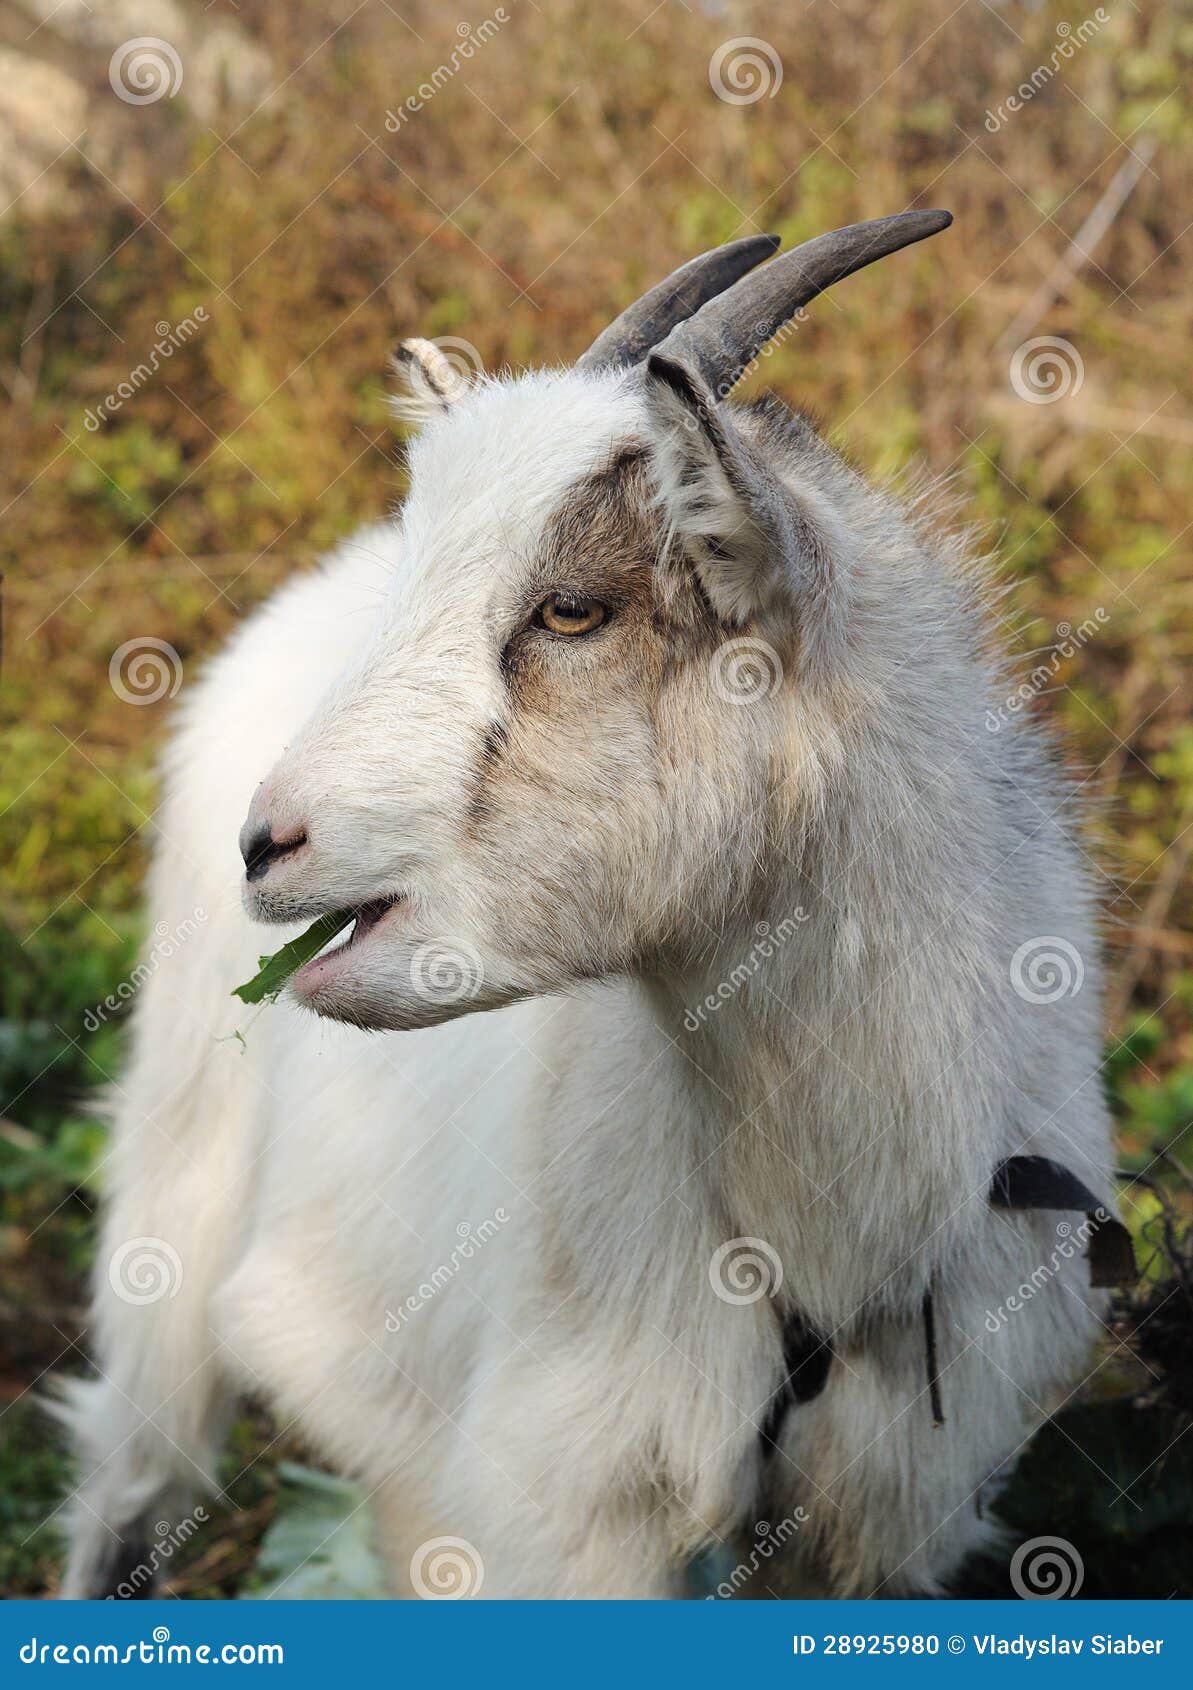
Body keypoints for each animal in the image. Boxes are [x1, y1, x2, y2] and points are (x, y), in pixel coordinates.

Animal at [60, 211, 1119, 1600]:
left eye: (572, 609)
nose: (267, 841)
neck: (819, 1252)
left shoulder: (874, 1527)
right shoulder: (566, 1510)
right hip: (175, 1190)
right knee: (130, 1471)